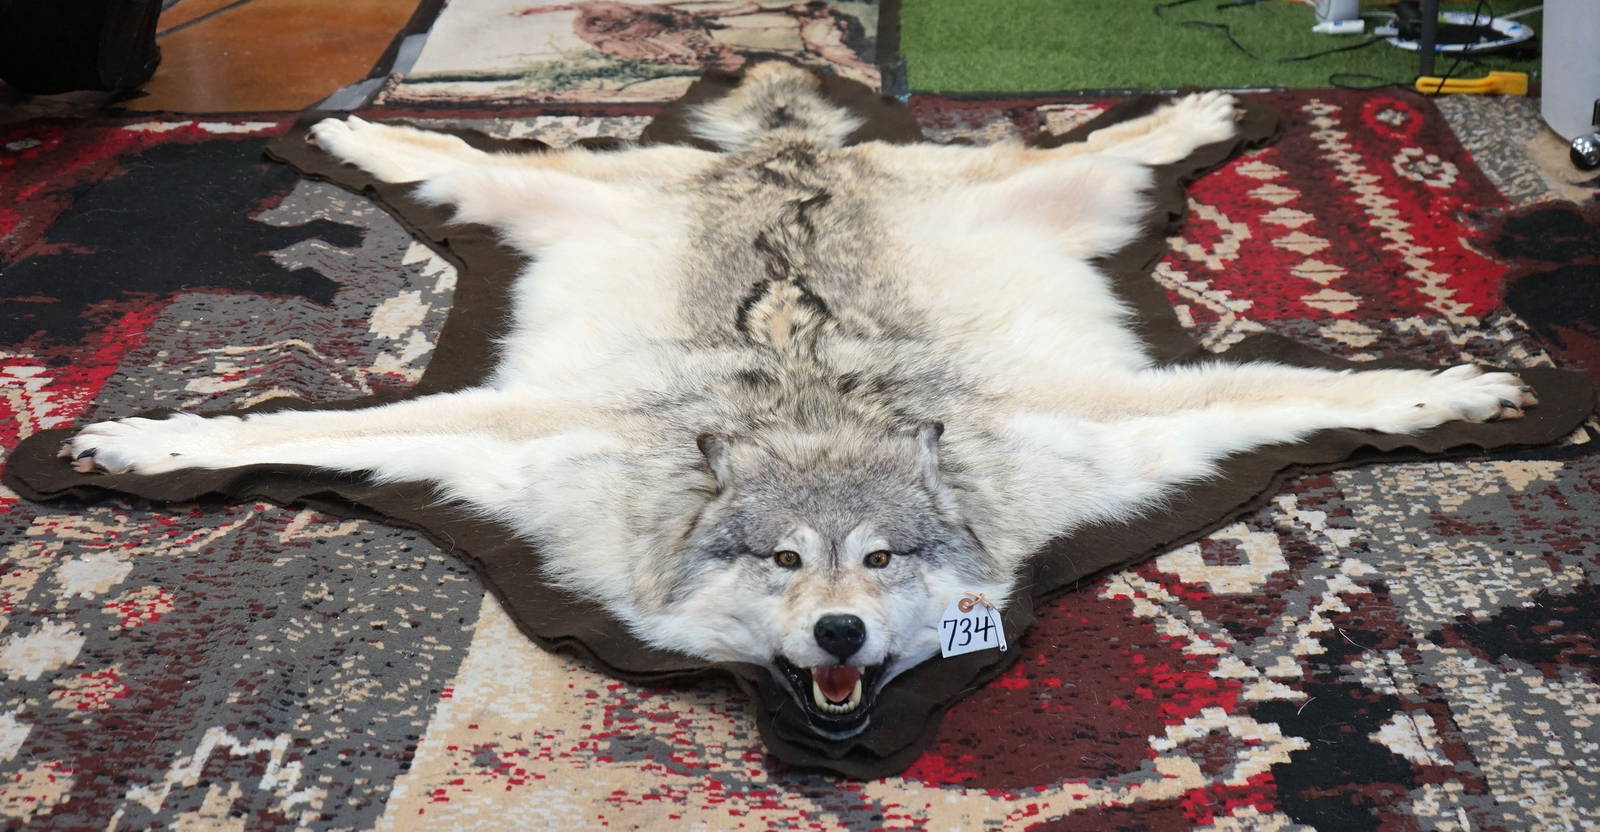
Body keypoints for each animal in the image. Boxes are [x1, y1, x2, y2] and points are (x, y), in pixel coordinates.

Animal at [59, 63, 1537, 738]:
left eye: (881, 562)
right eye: (779, 561)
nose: (837, 634)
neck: (817, 423)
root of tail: (783, 139)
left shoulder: (1112, 425)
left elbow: (1303, 383)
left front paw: (1461, 383)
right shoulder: (506, 434)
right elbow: (298, 428)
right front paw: (140, 436)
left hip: (1045, 192)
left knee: (1119, 137)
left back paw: (1208, 108)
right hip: (541, 197)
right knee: (439, 146)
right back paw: (347, 123)